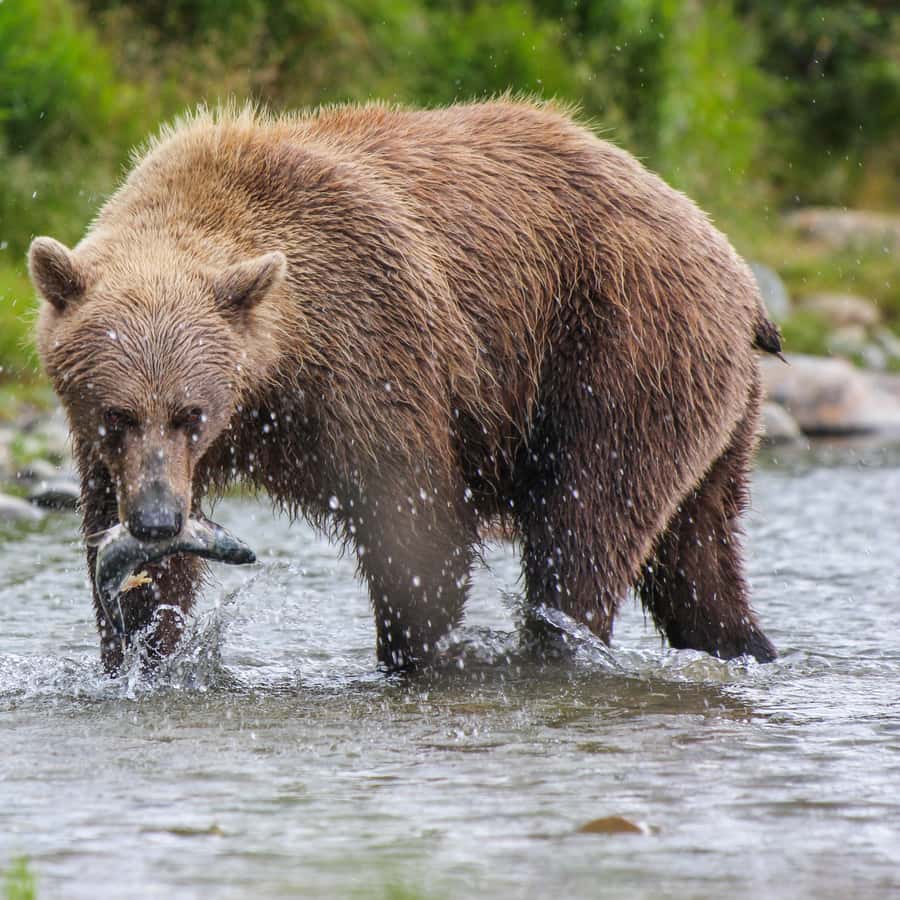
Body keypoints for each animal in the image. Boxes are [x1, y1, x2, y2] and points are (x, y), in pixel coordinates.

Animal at [28, 99, 778, 673]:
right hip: (710, 403)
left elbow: (416, 525)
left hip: (619, 346)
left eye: (191, 412)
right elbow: (139, 566)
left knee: (586, 523)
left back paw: (556, 646)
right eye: (117, 415)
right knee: (696, 555)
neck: (274, 375)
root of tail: (733, 265)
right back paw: (744, 644)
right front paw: (141, 649)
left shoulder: (370, 349)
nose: (157, 519)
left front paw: (414, 655)